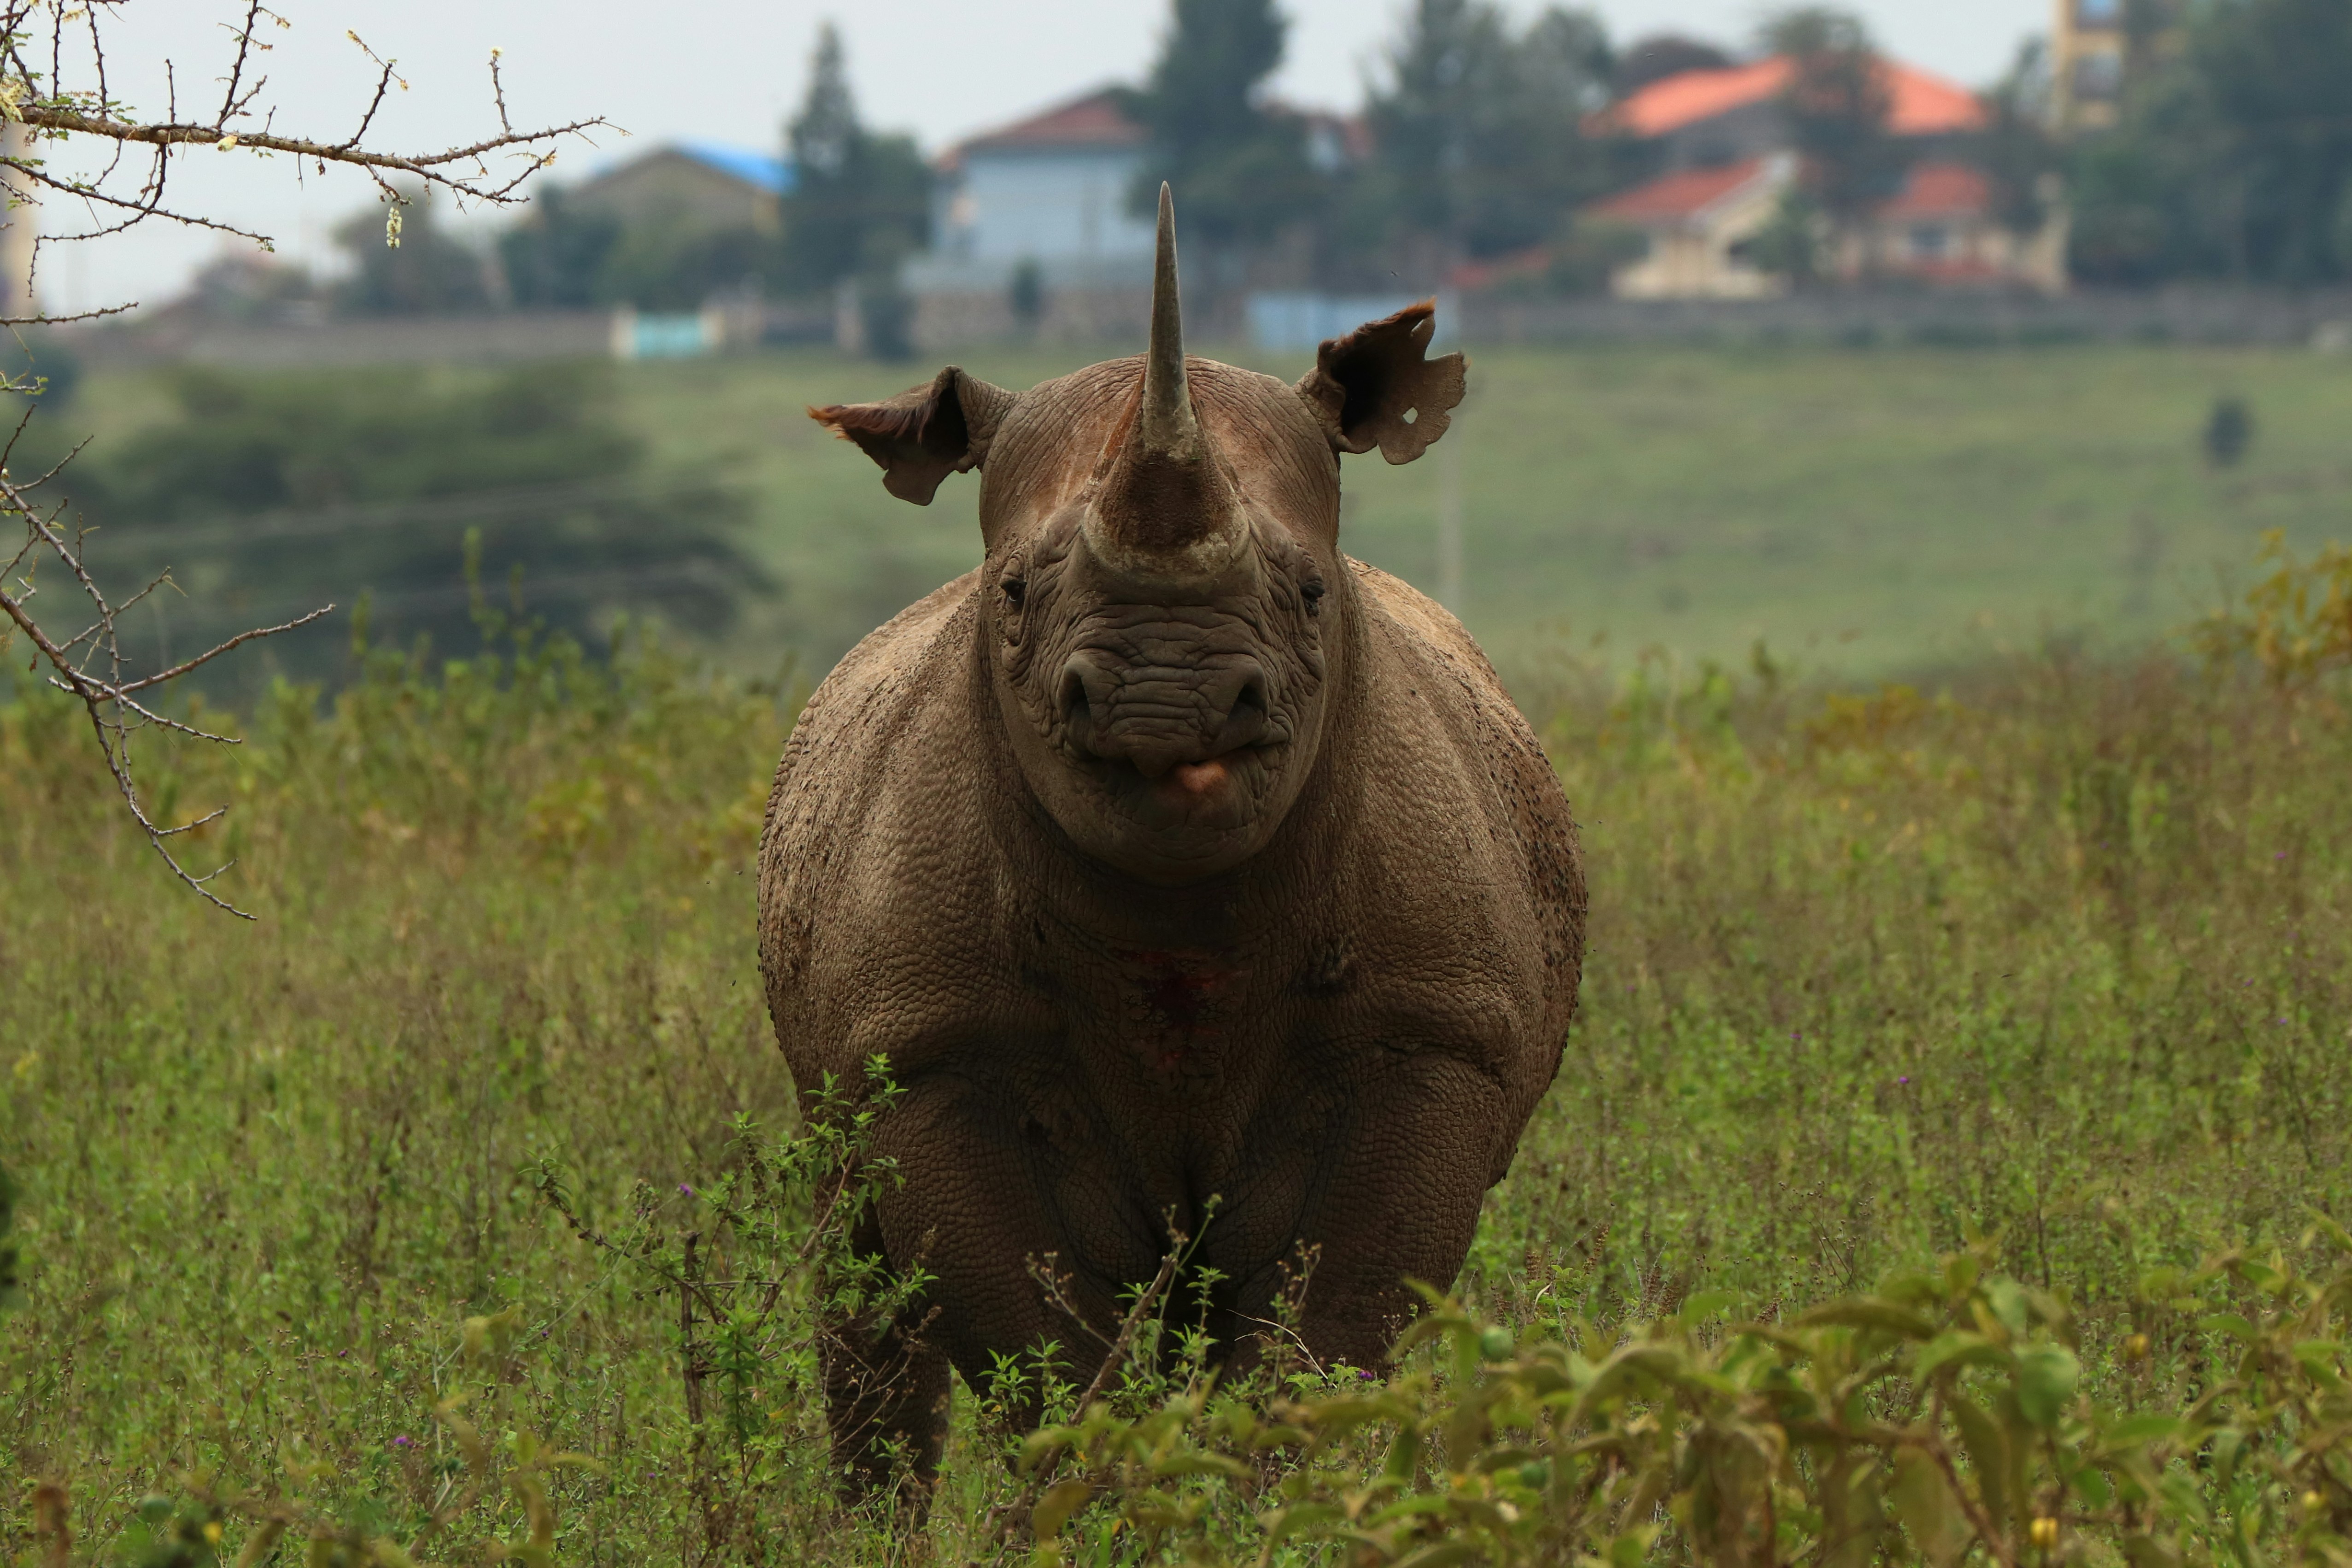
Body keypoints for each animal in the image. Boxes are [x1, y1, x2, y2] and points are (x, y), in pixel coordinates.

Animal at [758, 189, 1584, 1492]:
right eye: (1011, 596)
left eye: (1311, 594)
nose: (1165, 705)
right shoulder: (937, 1055)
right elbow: (1047, 1359)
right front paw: (1096, 1504)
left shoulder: (1427, 1039)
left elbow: (1326, 1337)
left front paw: (1276, 1503)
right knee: (859, 1259)